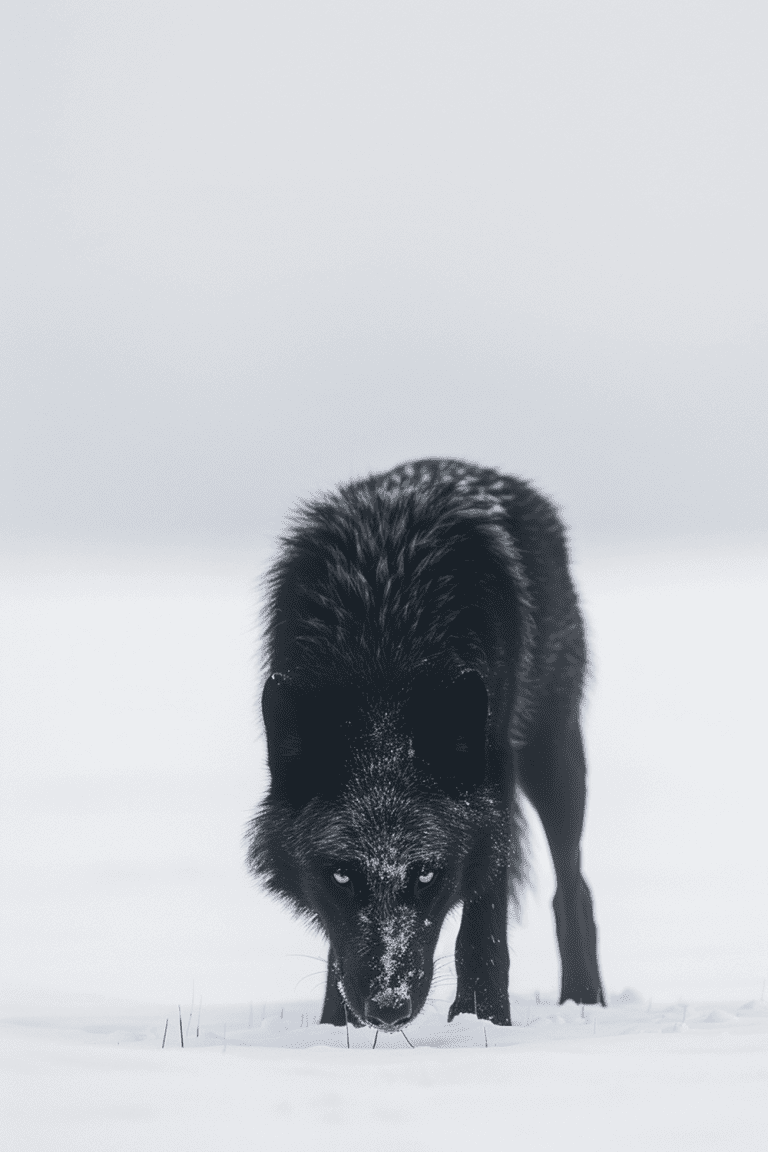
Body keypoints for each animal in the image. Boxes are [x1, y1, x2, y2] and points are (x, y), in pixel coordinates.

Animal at [247, 459, 604, 1031]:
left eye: (426, 874)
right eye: (341, 876)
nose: (388, 1008)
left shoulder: (493, 773)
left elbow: (483, 923)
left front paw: (483, 1020)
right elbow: (337, 944)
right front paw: (336, 1026)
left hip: (553, 757)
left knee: (573, 888)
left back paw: (583, 1001)